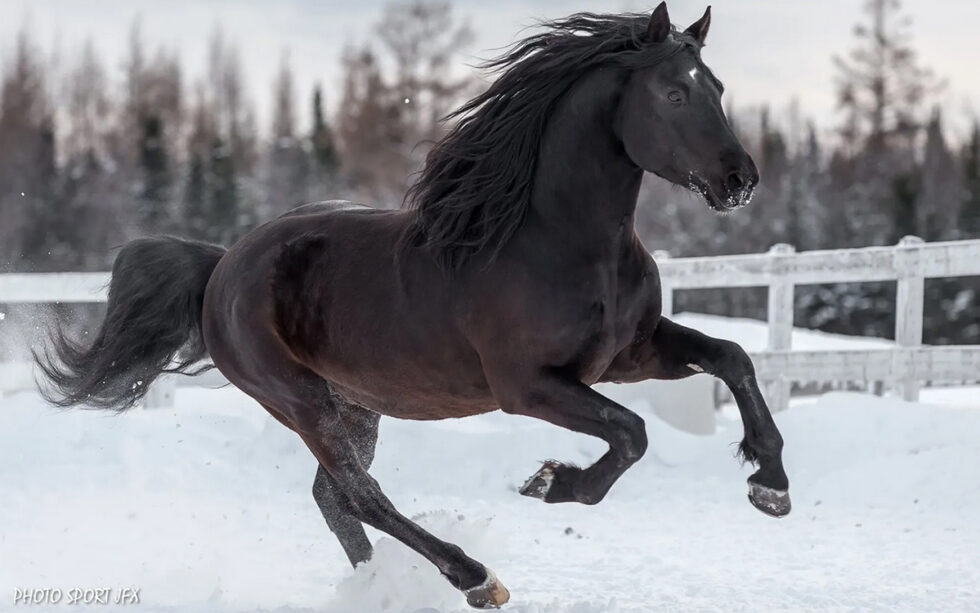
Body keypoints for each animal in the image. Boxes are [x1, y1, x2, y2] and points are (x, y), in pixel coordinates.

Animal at [35, 4, 790, 608]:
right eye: (673, 92)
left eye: (718, 88)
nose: (740, 180)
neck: (561, 242)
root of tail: (223, 266)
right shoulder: (528, 385)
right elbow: (631, 433)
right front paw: (551, 483)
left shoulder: (628, 354)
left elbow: (733, 358)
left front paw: (770, 482)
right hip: (297, 397)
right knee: (360, 493)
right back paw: (476, 578)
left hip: (356, 402)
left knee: (337, 497)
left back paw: (385, 584)